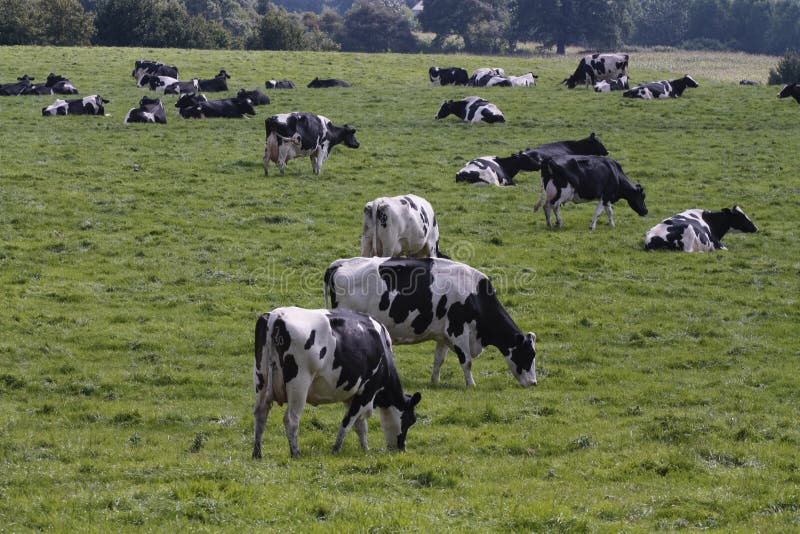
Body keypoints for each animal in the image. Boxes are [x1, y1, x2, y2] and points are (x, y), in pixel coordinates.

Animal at [252, 307, 421, 459]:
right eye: (411, 420)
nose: (401, 448)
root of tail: (276, 316)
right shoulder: (367, 391)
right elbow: (348, 422)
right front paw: (336, 449)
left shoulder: (351, 395)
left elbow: (361, 425)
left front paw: (365, 449)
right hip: (299, 383)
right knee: (291, 419)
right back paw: (296, 453)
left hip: (261, 378)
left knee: (260, 414)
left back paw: (257, 454)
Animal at [324, 257, 537, 388]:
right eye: (528, 354)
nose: (533, 383)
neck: (475, 295)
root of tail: (340, 263)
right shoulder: (458, 330)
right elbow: (467, 361)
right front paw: (471, 384)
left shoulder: (443, 335)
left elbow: (438, 360)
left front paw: (435, 381)